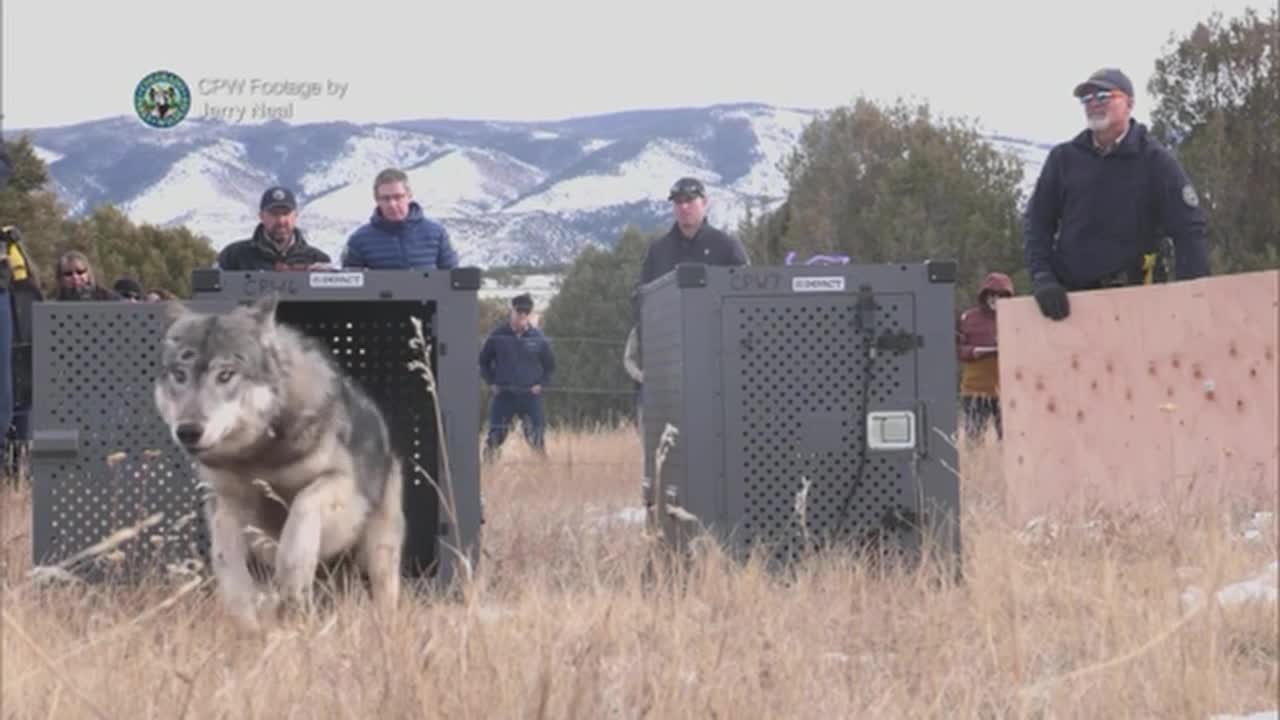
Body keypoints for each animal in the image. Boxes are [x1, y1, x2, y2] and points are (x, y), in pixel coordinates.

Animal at [153, 293, 404, 631]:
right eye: (180, 375)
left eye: (225, 375)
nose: (188, 431)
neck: (258, 456)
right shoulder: (225, 501)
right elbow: (225, 559)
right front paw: (245, 618)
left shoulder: (342, 486)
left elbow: (302, 509)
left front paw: (293, 578)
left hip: (379, 551)